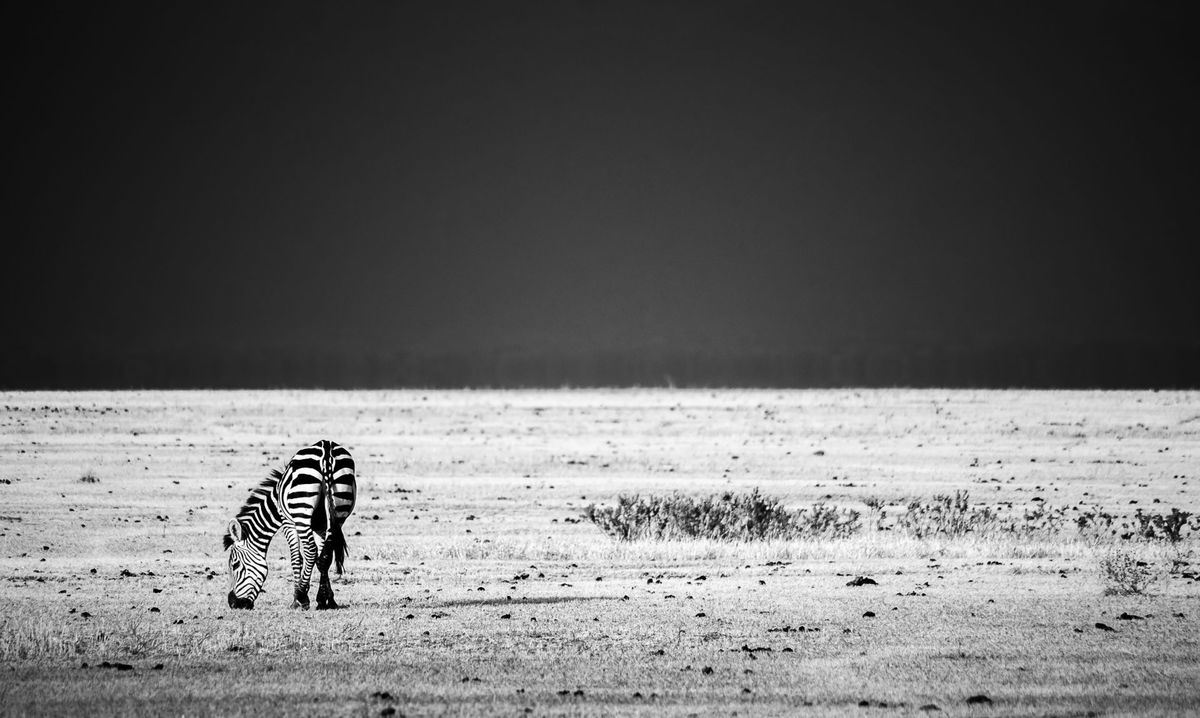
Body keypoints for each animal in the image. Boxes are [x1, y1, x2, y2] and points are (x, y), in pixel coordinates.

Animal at [223, 440, 356, 610]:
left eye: (235, 565)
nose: (233, 603)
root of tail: (326, 448)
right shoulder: (321, 526)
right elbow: (323, 559)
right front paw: (326, 600)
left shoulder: (288, 522)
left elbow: (297, 558)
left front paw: (297, 599)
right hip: (339, 510)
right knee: (325, 554)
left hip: (302, 510)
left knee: (310, 551)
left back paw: (302, 597)